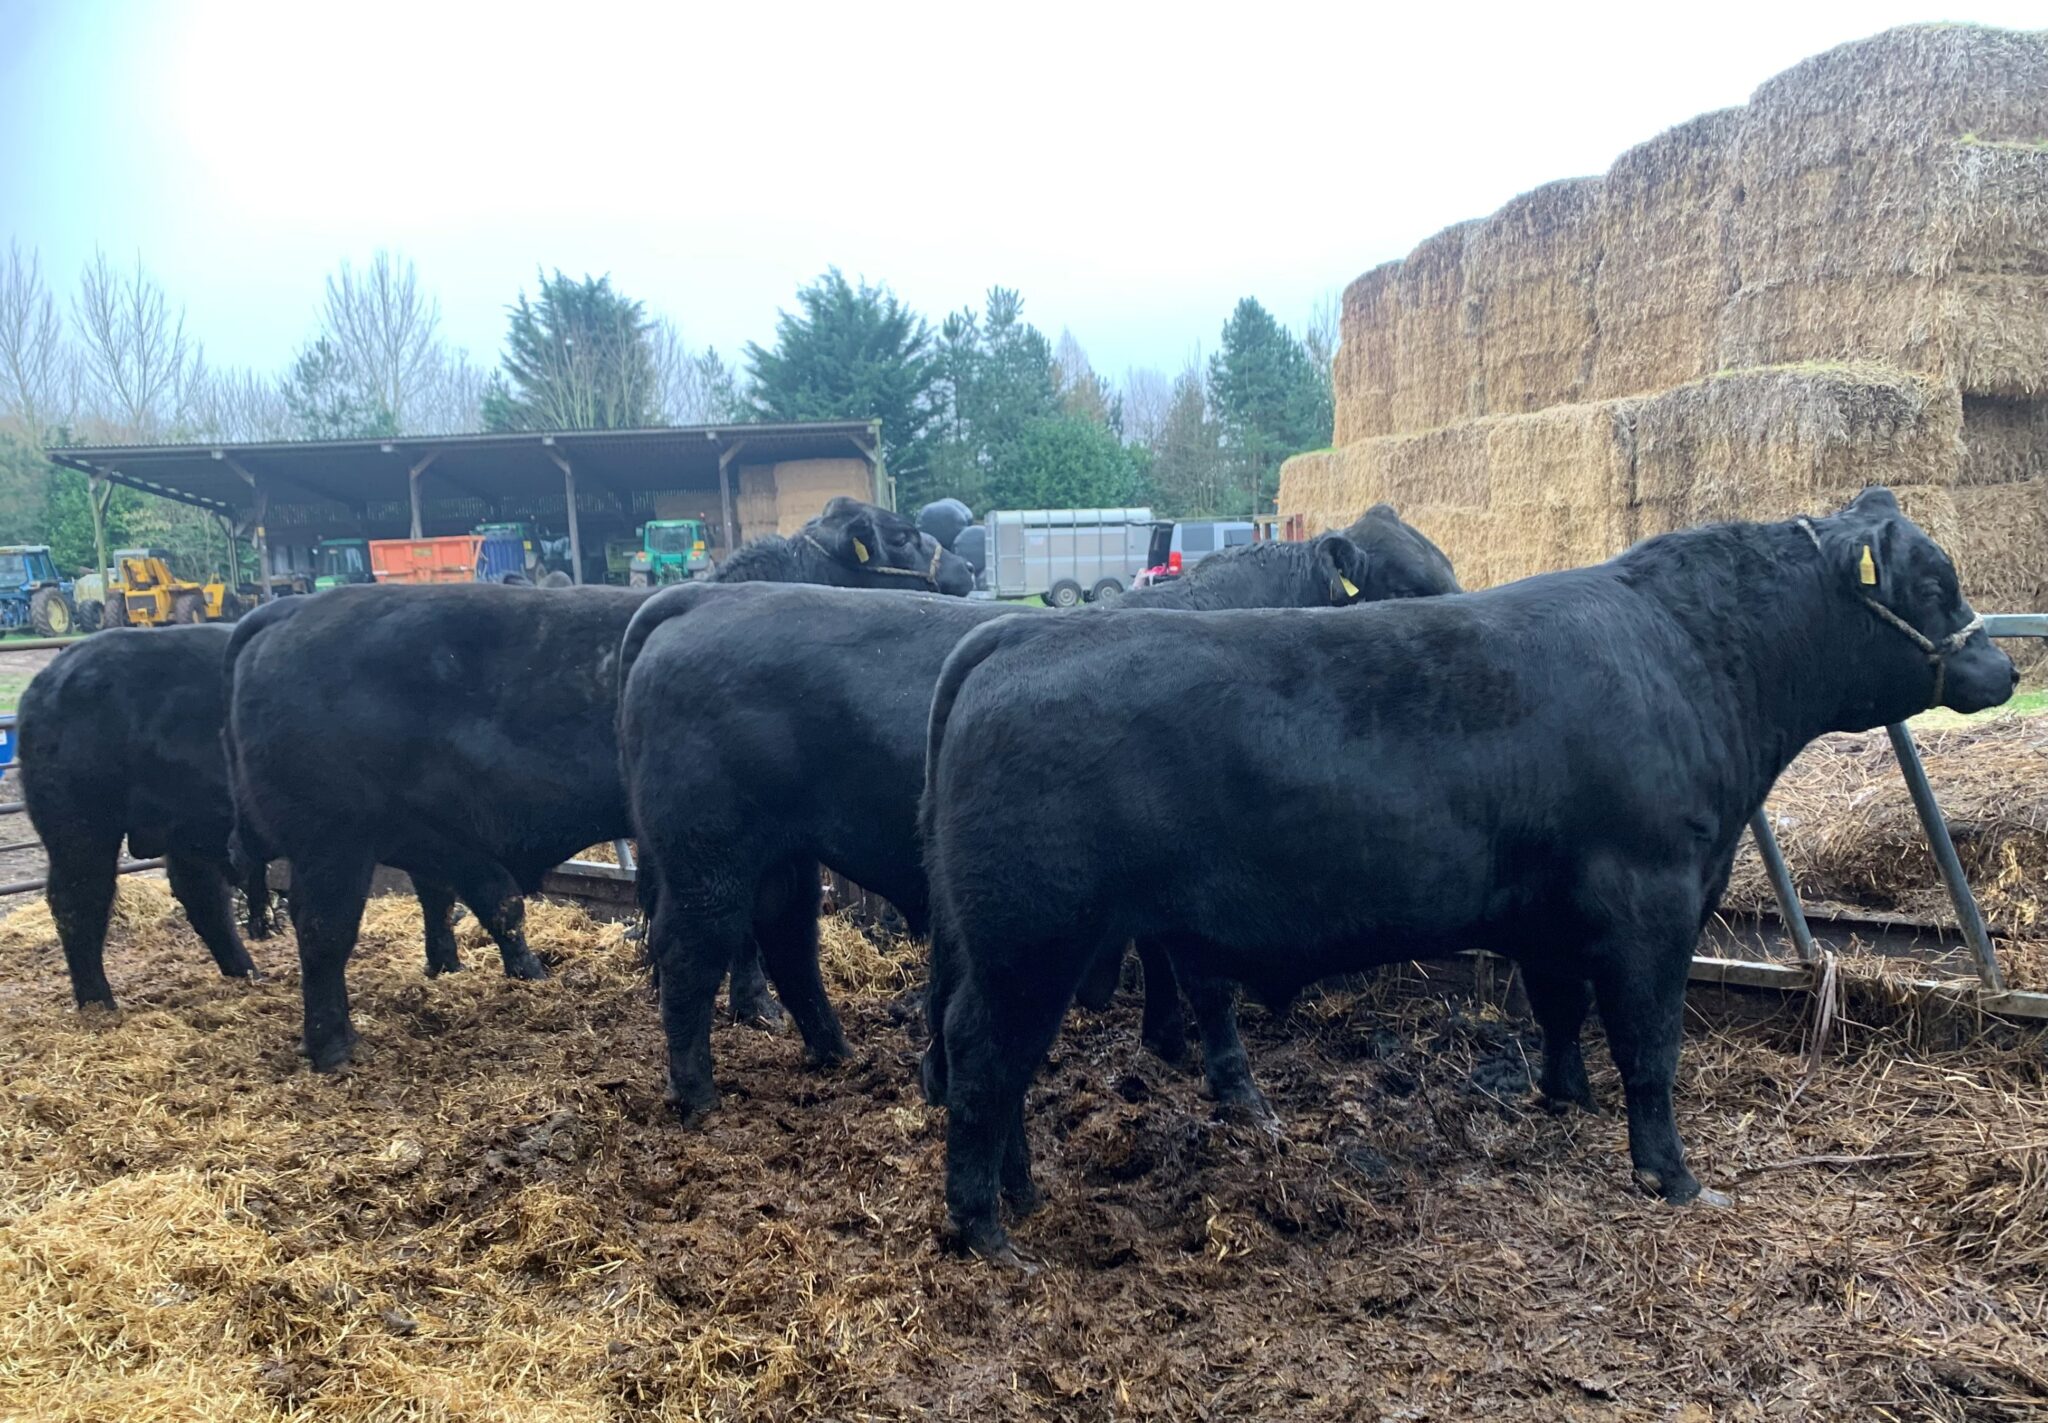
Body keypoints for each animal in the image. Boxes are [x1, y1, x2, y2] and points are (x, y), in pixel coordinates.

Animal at [226, 497, 973, 1071]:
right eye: (904, 533)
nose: (965, 566)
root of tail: (282, 614)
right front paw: (753, 1006)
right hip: (330, 838)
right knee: (322, 931)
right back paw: (334, 1046)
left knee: (440, 897)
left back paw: (463, 970)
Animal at [617, 507, 1460, 1127]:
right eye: (1405, 583)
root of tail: (694, 602)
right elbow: (1207, 983)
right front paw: (1238, 1090)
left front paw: (1165, 1040)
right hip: (708, 852)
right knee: (692, 955)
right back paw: (699, 1096)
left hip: (781, 853)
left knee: (787, 941)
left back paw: (834, 1051)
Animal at [919, 489, 2017, 1263]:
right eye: (1932, 583)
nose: (2003, 669)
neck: (1685, 656)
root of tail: (1018, 630)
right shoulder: (1653, 896)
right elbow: (1649, 1044)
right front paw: (1669, 1174)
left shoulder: (1556, 912)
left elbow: (1563, 1009)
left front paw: (1566, 1098)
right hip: (1031, 936)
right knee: (983, 1056)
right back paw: (987, 1231)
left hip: (1015, 942)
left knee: (1002, 1064)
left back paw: (1019, 1196)